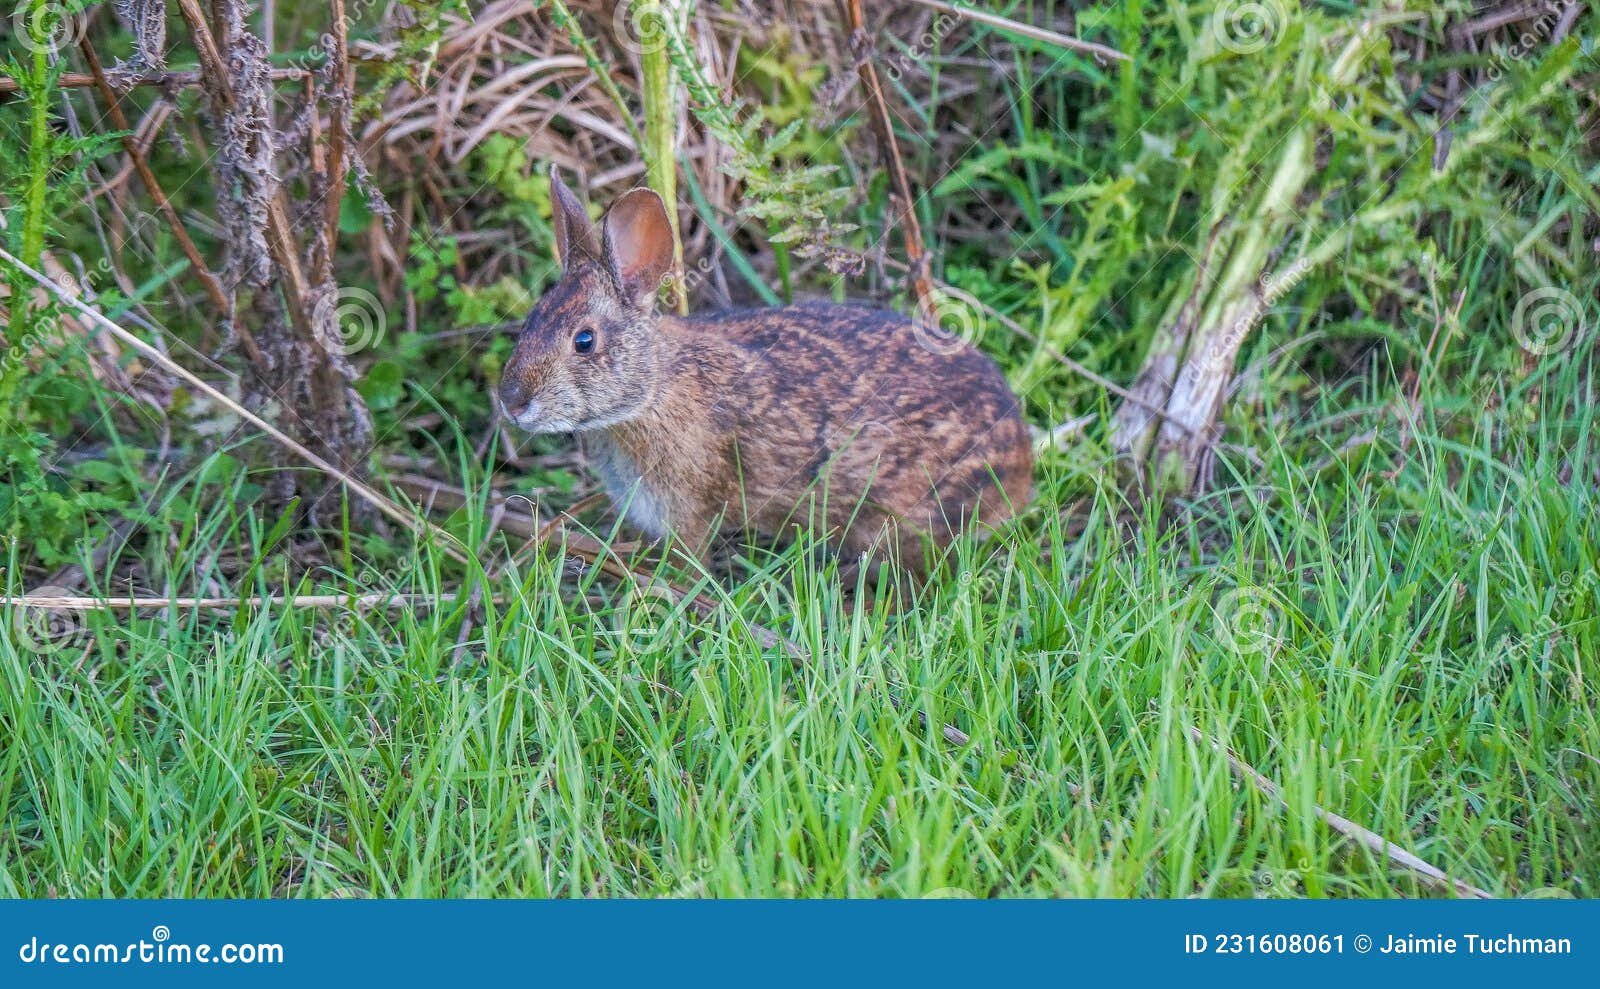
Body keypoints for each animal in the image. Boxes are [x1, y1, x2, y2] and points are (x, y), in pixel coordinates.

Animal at [497, 171, 1033, 572]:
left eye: (584, 341)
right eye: (532, 318)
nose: (512, 401)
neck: (652, 392)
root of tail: (1020, 455)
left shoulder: (688, 506)